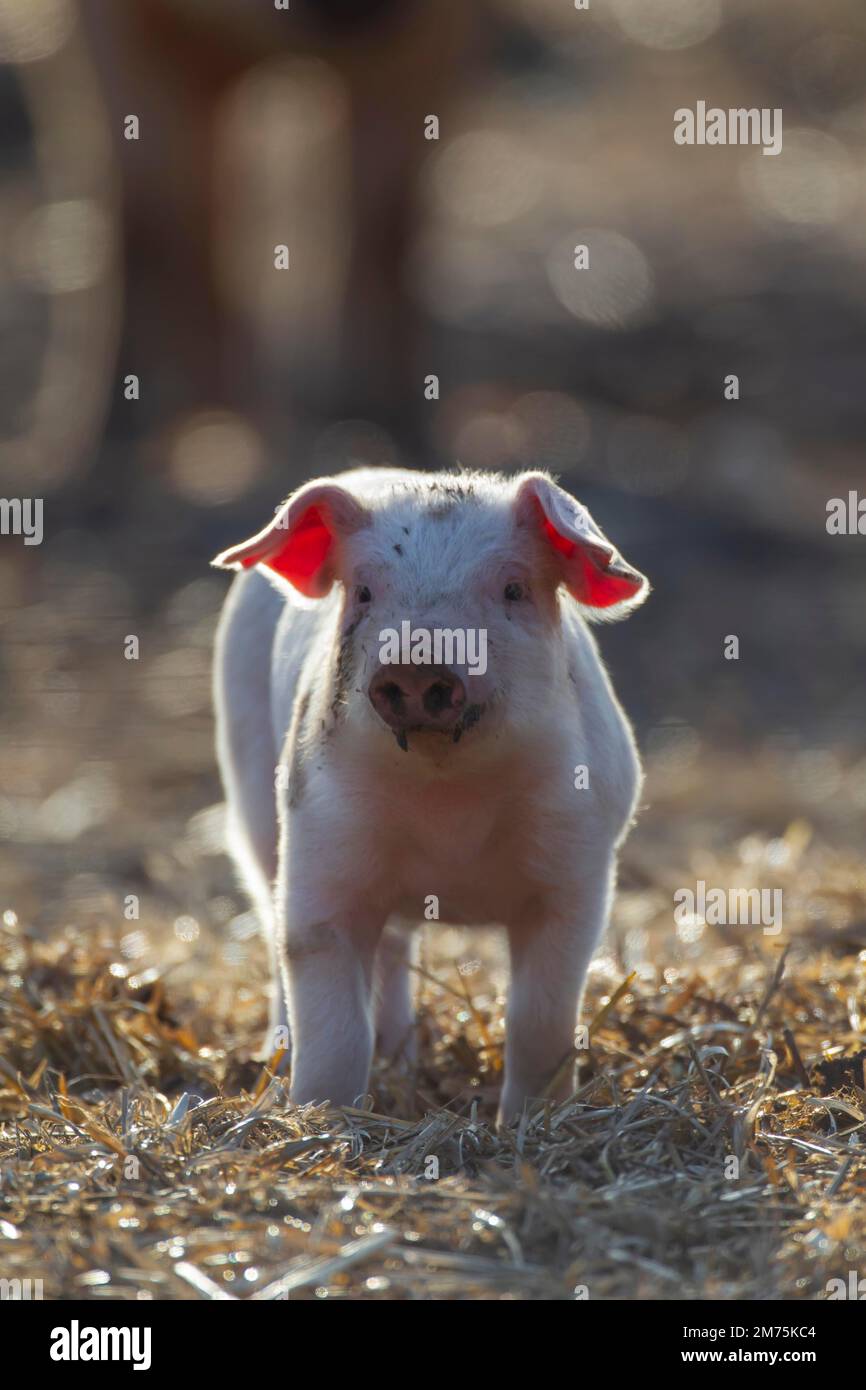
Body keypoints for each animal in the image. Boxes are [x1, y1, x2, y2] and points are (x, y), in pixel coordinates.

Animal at [212, 467, 649, 1123]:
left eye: (513, 589)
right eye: (364, 592)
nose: (417, 663)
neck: (448, 806)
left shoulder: (577, 870)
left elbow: (538, 1020)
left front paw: (526, 1121)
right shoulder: (318, 843)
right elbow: (331, 1020)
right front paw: (321, 1117)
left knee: (395, 948)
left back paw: (399, 1055)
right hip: (254, 796)